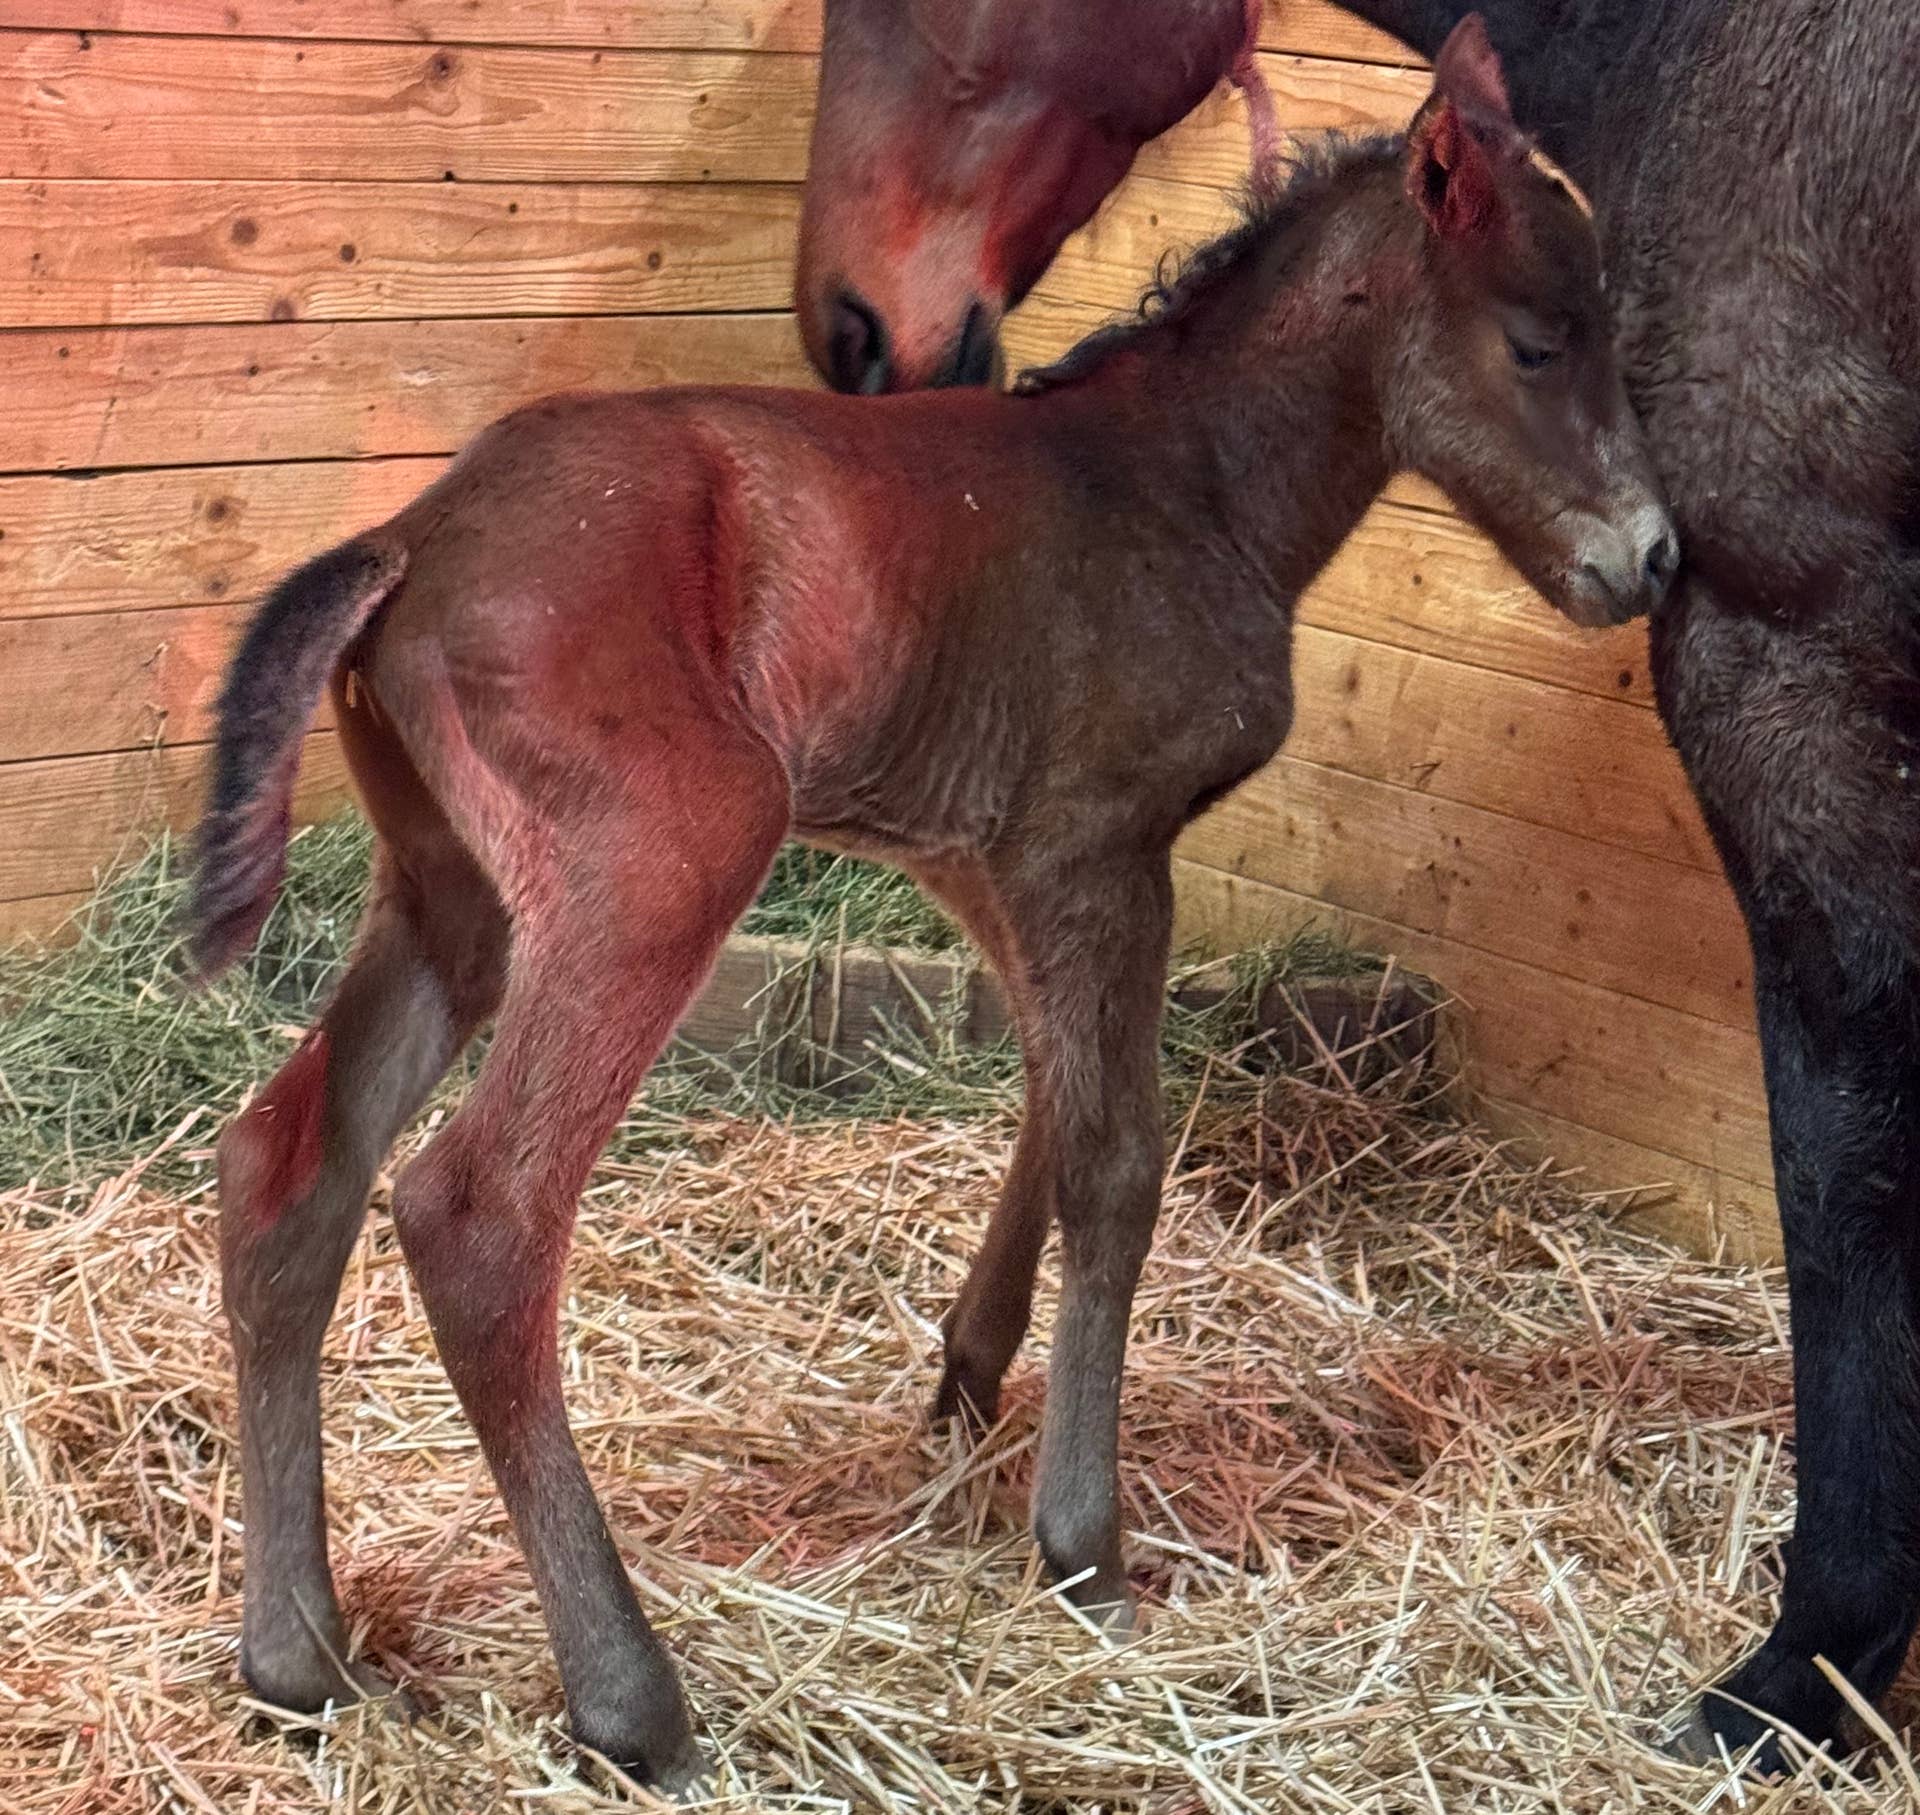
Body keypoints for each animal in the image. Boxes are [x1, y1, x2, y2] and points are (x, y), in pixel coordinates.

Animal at [187, 23, 1670, 1792]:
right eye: (1538, 341)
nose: (1652, 558)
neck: (1186, 483)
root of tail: (412, 542)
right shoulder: (1095, 845)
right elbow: (1115, 1155)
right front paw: (1083, 1540)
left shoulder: (1008, 857)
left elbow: (1049, 1085)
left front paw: (968, 1372)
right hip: (660, 862)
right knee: (479, 1212)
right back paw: (629, 1696)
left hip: (451, 890)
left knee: (289, 1166)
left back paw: (299, 1658)